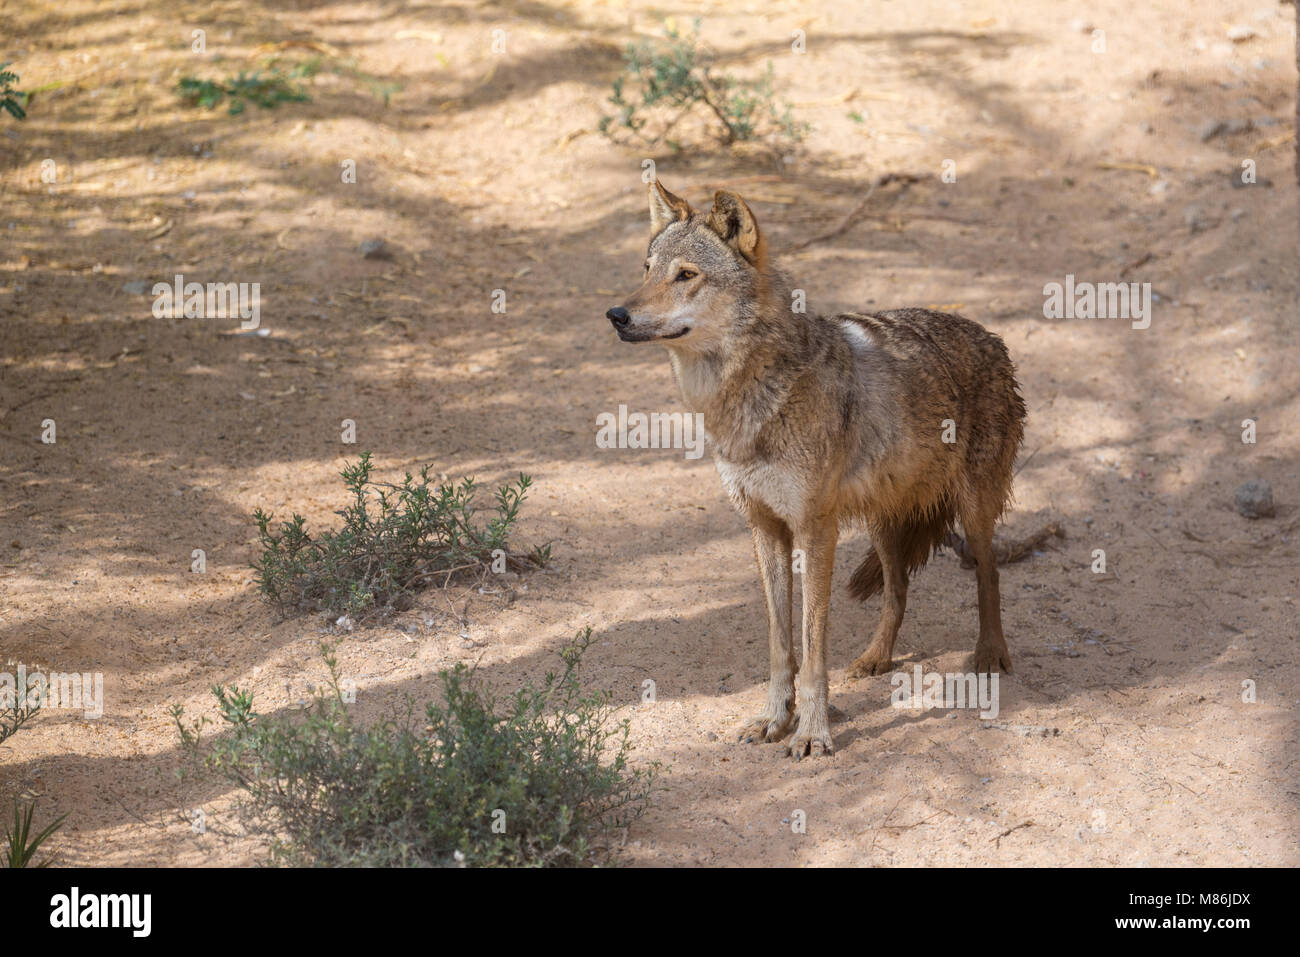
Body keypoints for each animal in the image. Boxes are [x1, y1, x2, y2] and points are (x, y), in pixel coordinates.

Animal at [606, 180, 1026, 759]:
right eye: (647, 269)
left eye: (685, 275)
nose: (616, 314)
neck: (750, 399)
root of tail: (991, 337)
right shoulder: (764, 527)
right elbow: (781, 645)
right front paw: (772, 718)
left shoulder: (814, 530)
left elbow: (813, 646)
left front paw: (812, 732)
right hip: (883, 523)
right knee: (898, 589)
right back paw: (875, 658)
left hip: (973, 511)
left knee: (989, 573)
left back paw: (990, 654)